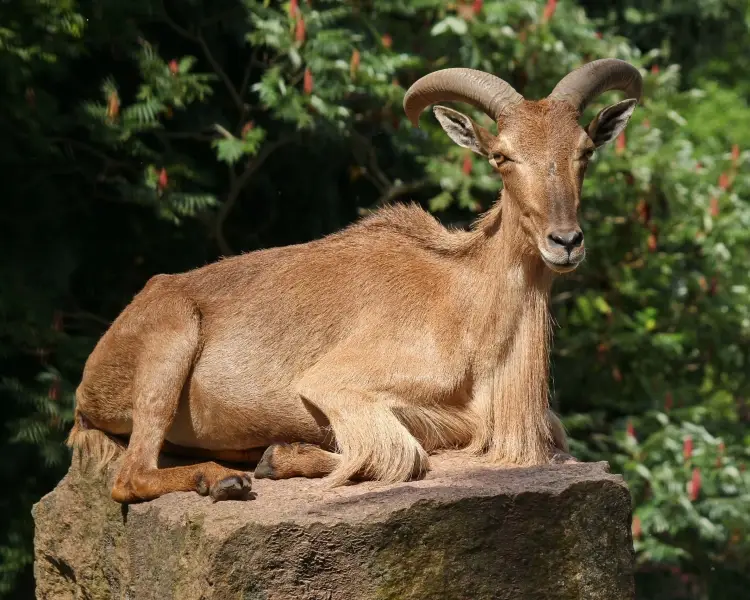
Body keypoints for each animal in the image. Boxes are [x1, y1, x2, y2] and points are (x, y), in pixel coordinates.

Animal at [67, 58, 642, 503]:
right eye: (502, 156)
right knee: (132, 475)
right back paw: (223, 480)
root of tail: (88, 382)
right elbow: (406, 455)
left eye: (585, 152)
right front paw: (285, 459)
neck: (466, 297)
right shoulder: (339, 383)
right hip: (170, 342)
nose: (565, 242)